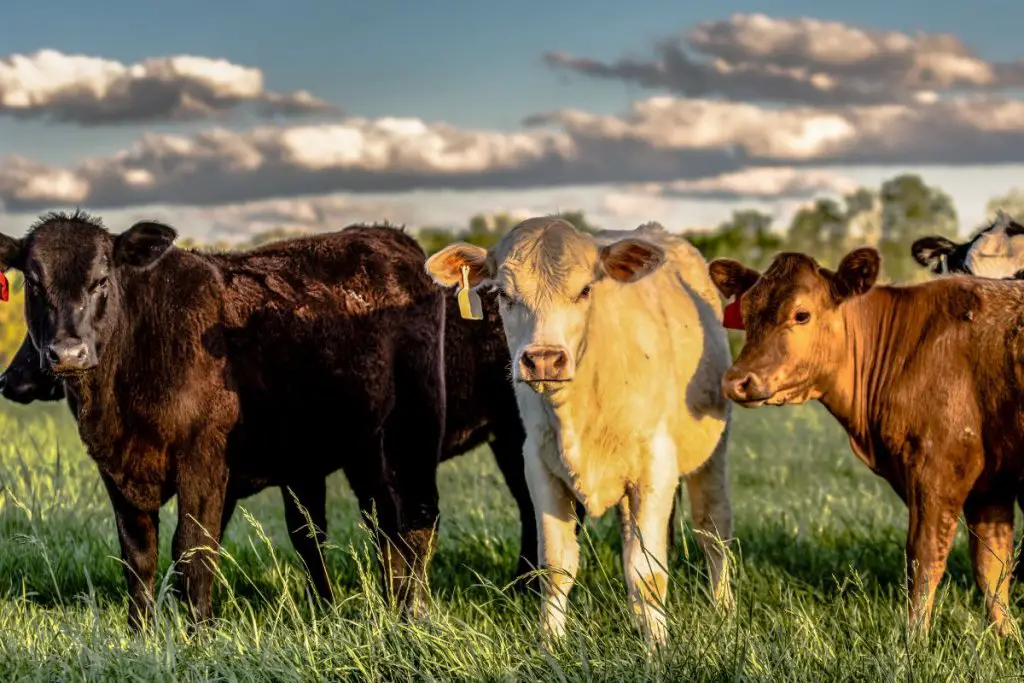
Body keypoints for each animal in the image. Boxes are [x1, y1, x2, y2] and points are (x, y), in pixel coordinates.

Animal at [0, 211, 447, 630]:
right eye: (34, 283)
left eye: (102, 280)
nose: (67, 353)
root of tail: (390, 237)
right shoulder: (116, 470)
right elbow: (139, 556)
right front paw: (138, 633)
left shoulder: (204, 459)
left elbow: (193, 548)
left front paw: (200, 634)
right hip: (335, 453)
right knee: (352, 528)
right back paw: (358, 608)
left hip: (407, 437)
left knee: (411, 522)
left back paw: (411, 614)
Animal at [0, 295, 568, 592]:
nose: (10, 379)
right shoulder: (296, 469)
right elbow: (303, 534)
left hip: (512, 436)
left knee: (534, 506)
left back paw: (526, 581)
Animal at [425, 217, 734, 649]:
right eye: (503, 294)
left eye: (585, 289)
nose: (544, 359)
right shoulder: (539, 467)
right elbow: (557, 567)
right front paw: (550, 643)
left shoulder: (655, 467)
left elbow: (648, 572)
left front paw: (657, 646)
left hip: (713, 452)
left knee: (713, 529)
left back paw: (724, 608)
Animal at [709, 246, 1024, 637]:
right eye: (746, 313)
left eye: (801, 314)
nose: (737, 381)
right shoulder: (992, 484)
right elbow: (992, 569)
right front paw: (1007, 639)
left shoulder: (938, 467)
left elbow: (924, 560)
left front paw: (913, 640)